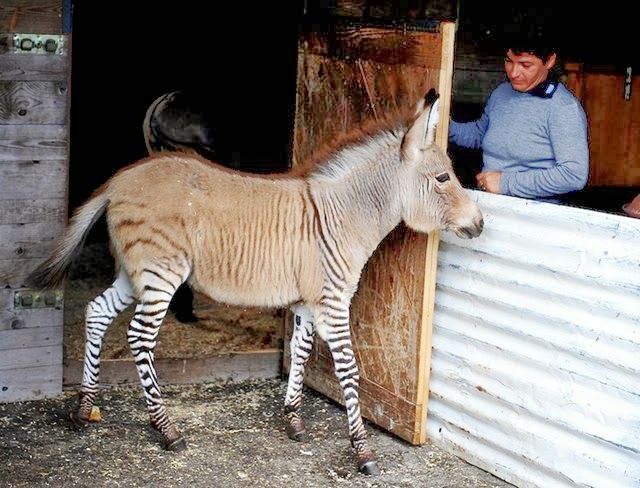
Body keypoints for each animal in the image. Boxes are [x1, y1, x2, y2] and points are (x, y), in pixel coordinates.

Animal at [25, 89, 484, 475]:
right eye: (444, 178)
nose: (481, 224)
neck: (343, 216)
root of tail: (119, 180)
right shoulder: (333, 301)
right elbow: (349, 369)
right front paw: (363, 450)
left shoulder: (306, 301)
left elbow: (299, 351)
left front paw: (294, 419)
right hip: (160, 272)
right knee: (139, 336)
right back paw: (166, 428)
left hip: (133, 271)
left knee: (97, 313)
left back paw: (84, 409)